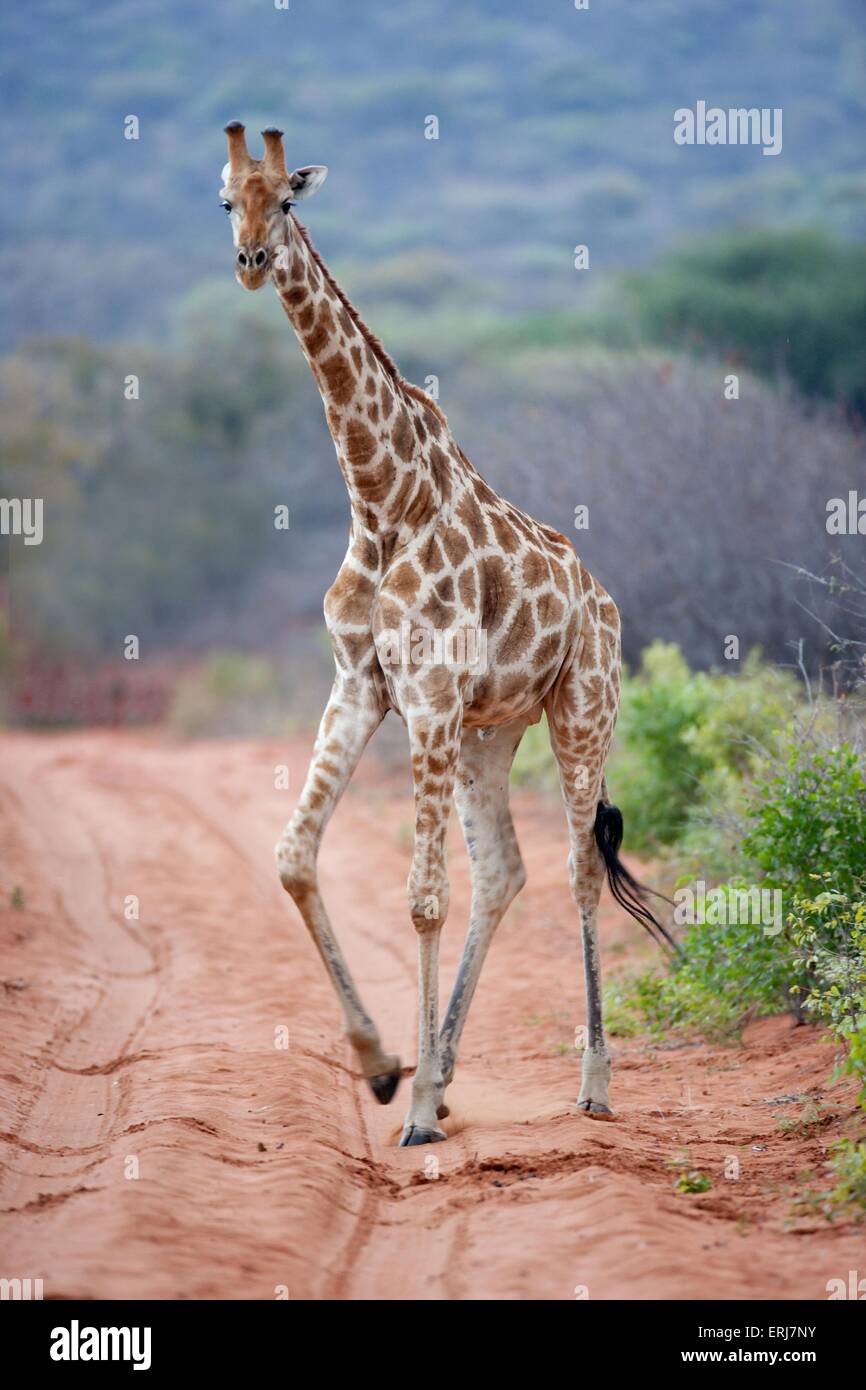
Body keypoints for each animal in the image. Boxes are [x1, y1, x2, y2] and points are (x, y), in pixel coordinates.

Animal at [218, 123, 673, 1145]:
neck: (381, 497)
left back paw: (592, 1083)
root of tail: (607, 604)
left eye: (289, 200)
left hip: (581, 713)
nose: (252, 261)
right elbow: (293, 857)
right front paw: (385, 1067)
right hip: (487, 733)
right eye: (226, 200)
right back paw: (449, 1066)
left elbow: (422, 897)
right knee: (504, 871)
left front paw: (417, 1105)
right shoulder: (364, 682)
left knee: (577, 871)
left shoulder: (423, 694)